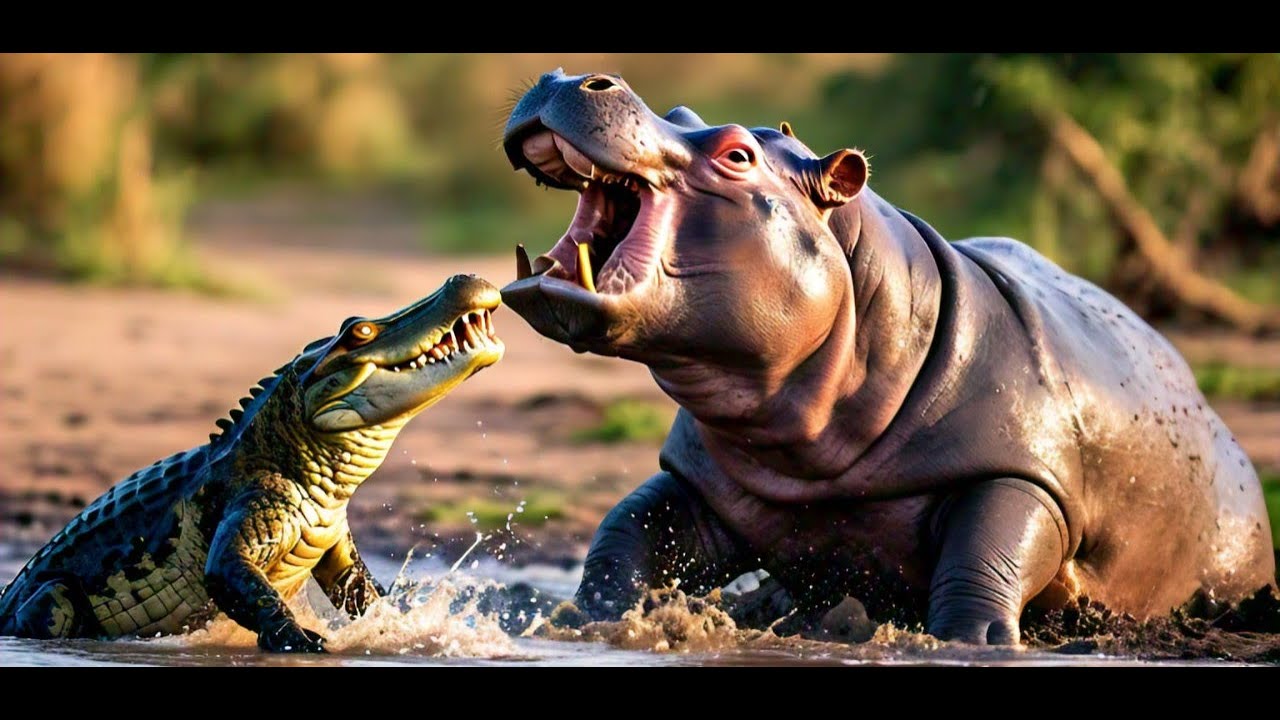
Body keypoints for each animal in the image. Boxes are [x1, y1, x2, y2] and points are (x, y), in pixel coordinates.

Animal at [499, 69, 1276, 644]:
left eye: (736, 155)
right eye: (681, 111)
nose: (569, 75)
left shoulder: (1024, 473)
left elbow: (987, 551)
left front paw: (973, 642)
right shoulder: (701, 481)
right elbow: (627, 530)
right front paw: (586, 621)